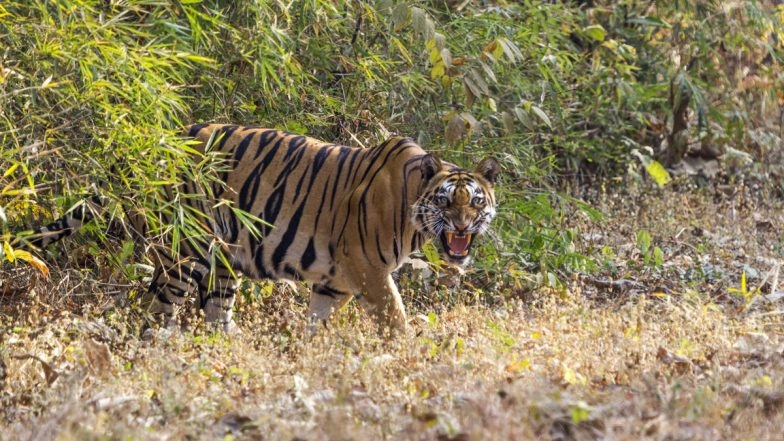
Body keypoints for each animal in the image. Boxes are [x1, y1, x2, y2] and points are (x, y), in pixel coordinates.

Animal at [18, 124, 500, 334]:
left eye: (476, 202)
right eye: (445, 201)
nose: (462, 224)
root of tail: (158, 139)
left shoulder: (336, 283)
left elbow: (316, 324)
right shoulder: (370, 272)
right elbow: (395, 319)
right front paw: (405, 353)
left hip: (223, 260)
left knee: (214, 312)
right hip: (185, 250)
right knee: (158, 309)